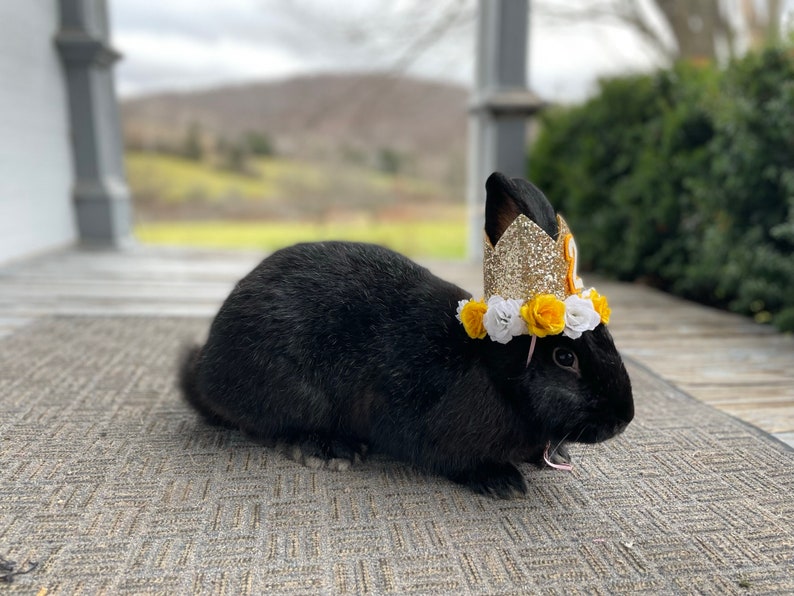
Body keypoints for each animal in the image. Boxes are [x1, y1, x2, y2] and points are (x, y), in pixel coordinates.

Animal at [179, 172, 634, 498]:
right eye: (564, 358)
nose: (624, 418)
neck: (492, 371)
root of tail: (206, 369)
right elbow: (454, 460)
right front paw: (502, 481)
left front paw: (555, 453)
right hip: (293, 391)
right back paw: (328, 449)